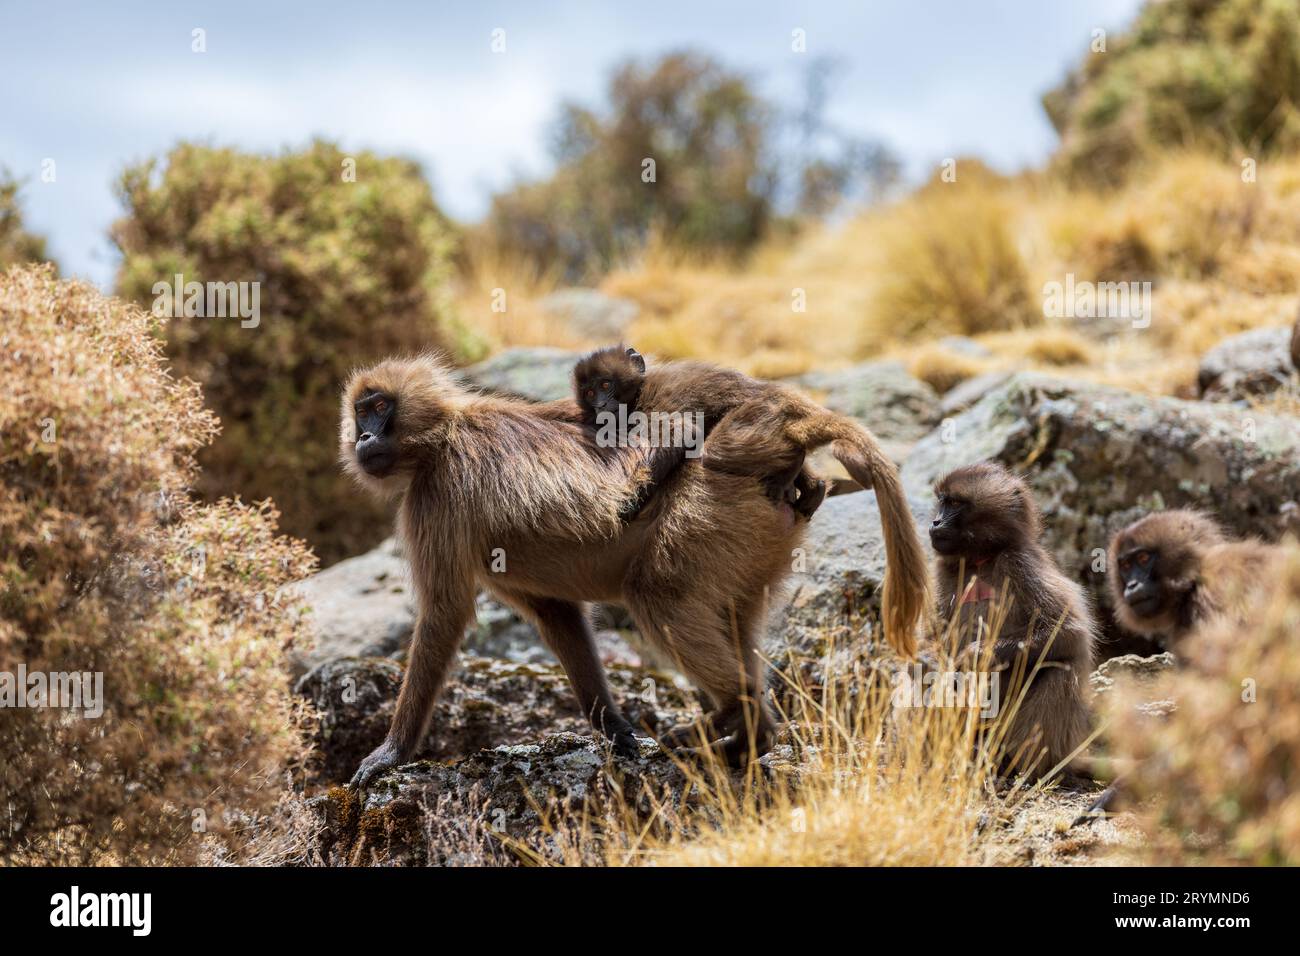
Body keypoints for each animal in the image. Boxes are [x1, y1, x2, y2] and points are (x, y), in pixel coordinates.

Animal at [571, 345, 827, 519]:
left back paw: (795, 460)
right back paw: (813, 485)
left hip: (756, 412)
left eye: (605, 385)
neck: (638, 394)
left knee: (713, 453)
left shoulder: (655, 407)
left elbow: (683, 431)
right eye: (589, 394)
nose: (600, 405)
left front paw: (630, 504)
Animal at [927, 461, 1096, 783]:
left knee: (1060, 669)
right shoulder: (943, 569)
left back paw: (1019, 767)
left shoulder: (1020, 563)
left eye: (955, 503)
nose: (934, 523)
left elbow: (1069, 632)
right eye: (941, 501)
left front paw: (975, 656)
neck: (981, 559)